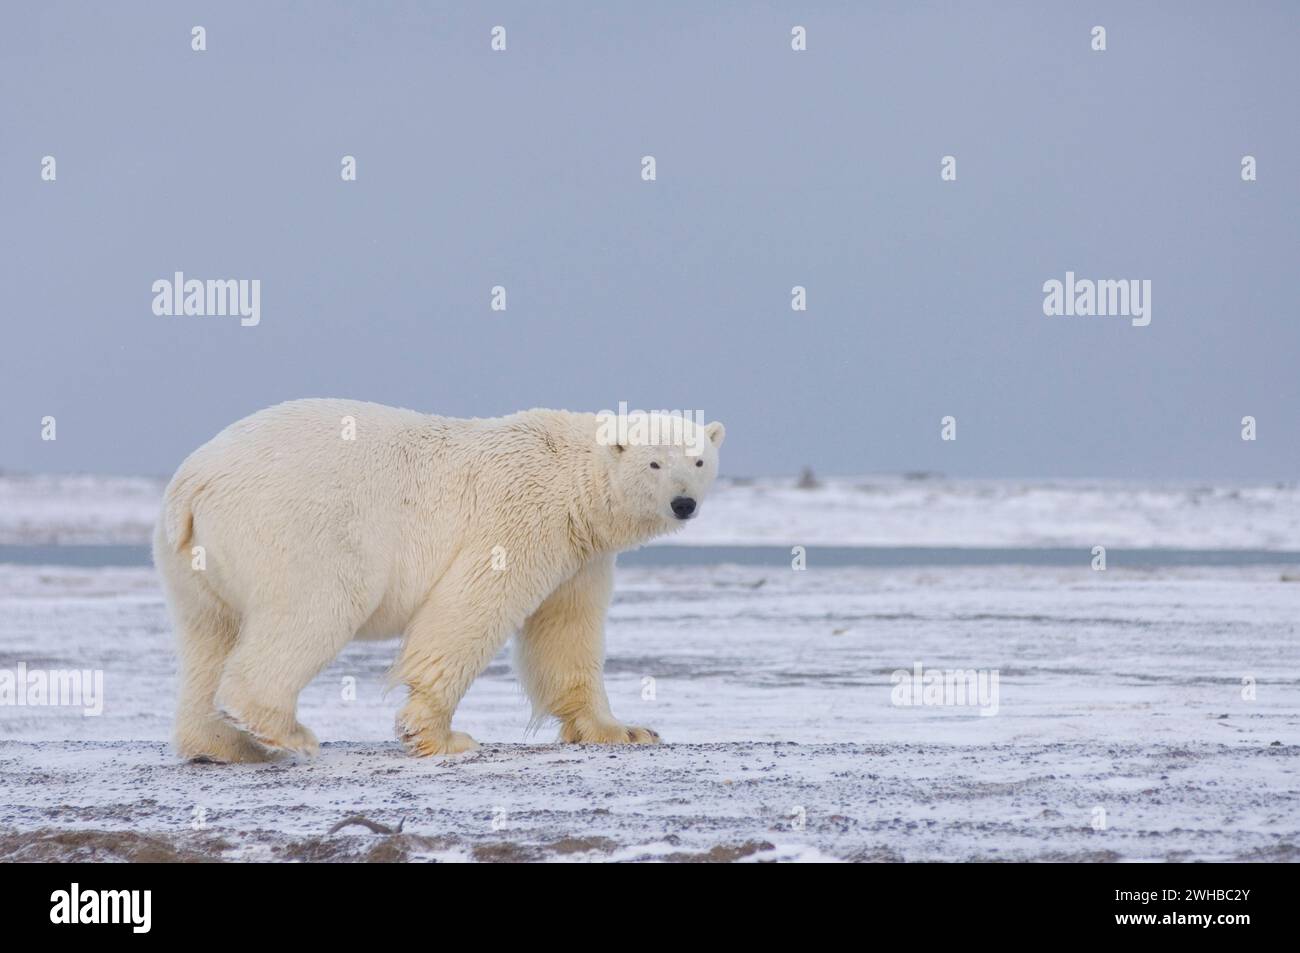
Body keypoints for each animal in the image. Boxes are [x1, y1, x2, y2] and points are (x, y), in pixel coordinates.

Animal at [153, 398, 725, 762]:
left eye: (699, 460)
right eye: (655, 463)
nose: (684, 503)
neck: (571, 480)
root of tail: (194, 482)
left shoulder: (579, 554)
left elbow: (565, 634)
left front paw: (626, 730)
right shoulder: (521, 514)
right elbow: (468, 609)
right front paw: (439, 735)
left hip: (190, 562)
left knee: (210, 633)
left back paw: (222, 746)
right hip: (302, 525)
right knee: (319, 605)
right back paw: (283, 731)